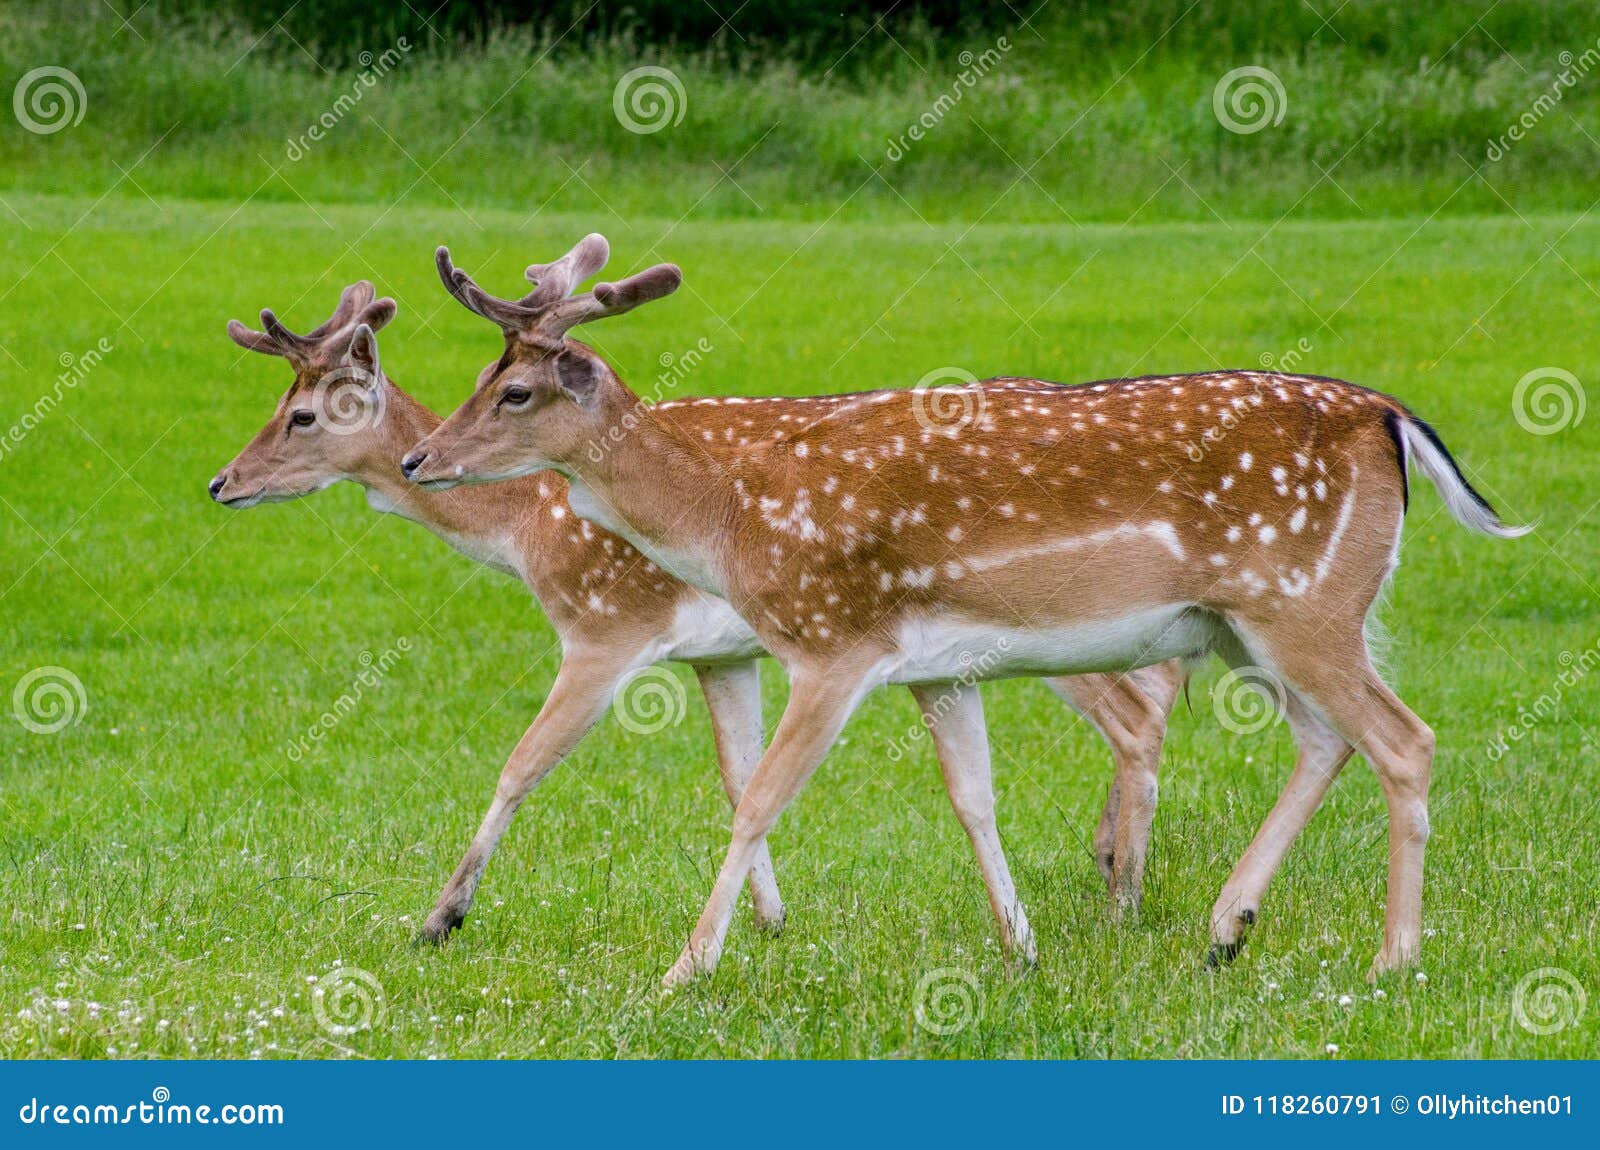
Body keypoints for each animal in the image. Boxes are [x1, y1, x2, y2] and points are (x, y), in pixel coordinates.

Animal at [207, 279, 1187, 958]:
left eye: (299, 416)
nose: (220, 482)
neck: (526, 530)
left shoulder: (605, 629)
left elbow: (522, 765)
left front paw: (440, 918)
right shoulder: (722, 655)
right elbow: (737, 776)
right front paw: (772, 919)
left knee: (1138, 706)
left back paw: (1123, 896)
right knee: (1158, 683)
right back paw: (1111, 874)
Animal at [404, 234, 1529, 987]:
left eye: (515, 393)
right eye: (481, 376)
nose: (418, 458)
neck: (733, 518)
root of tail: (1391, 419)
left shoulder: (833, 640)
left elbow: (759, 798)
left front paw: (686, 968)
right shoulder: (938, 667)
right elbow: (974, 799)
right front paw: (1021, 947)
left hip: (1305, 603)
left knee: (1404, 738)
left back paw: (1391, 958)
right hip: (1245, 623)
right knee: (1325, 737)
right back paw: (1224, 928)